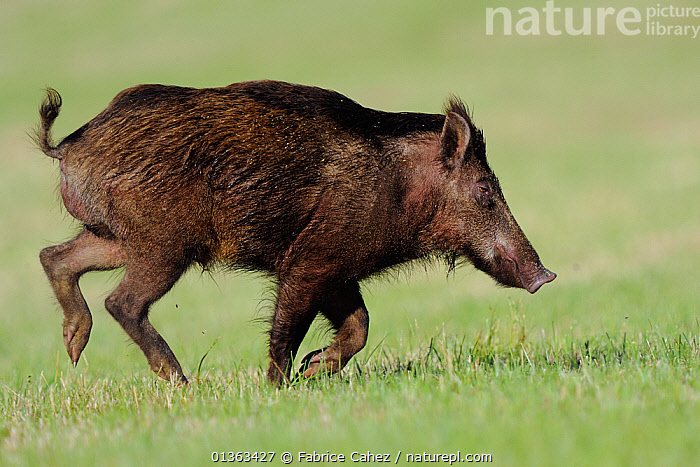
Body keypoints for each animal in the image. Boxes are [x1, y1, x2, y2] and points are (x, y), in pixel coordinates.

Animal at [36, 80, 555, 385]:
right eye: (486, 189)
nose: (546, 276)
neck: (399, 185)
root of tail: (67, 147)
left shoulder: (339, 270)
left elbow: (360, 324)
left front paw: (314, 372)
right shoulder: (310, 262)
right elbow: (289, 325)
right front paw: (280, 385)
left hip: (115, 236)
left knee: (54, 256)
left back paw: (74, 350)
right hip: (162, 245)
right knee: (121, 301)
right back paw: (181, 382)